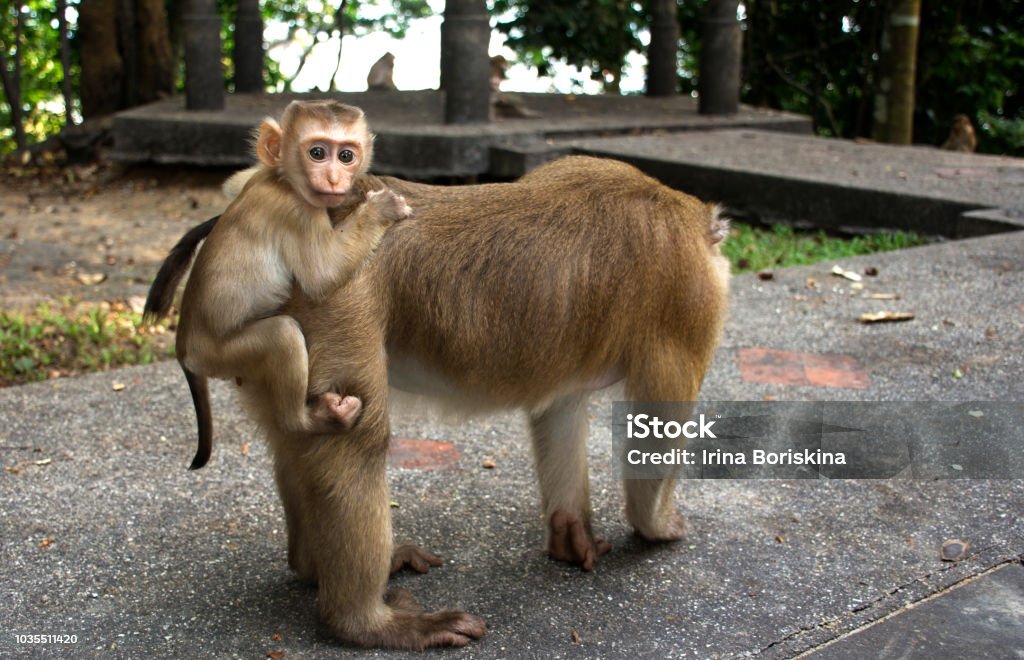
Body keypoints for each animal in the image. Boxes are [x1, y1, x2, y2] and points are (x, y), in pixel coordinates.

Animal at [145, 155, 729, 649]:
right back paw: (364, 623)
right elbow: (658, 420)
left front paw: (571, 534)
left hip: (267, 334)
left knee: (298, 438)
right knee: (358, 440)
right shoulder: (687, 295)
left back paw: (315, 567)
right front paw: (660, 526)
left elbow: (559, 406)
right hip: (332, 291)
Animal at [149, 99, 412, 470]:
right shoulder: (296, 211)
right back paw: (307, 420)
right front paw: (381, 208)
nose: (334, 178)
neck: (284, 182)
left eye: (346, 155)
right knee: (282, 336)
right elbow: (322, 274)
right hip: (221, 353)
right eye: (317, 152)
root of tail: (185, 349)